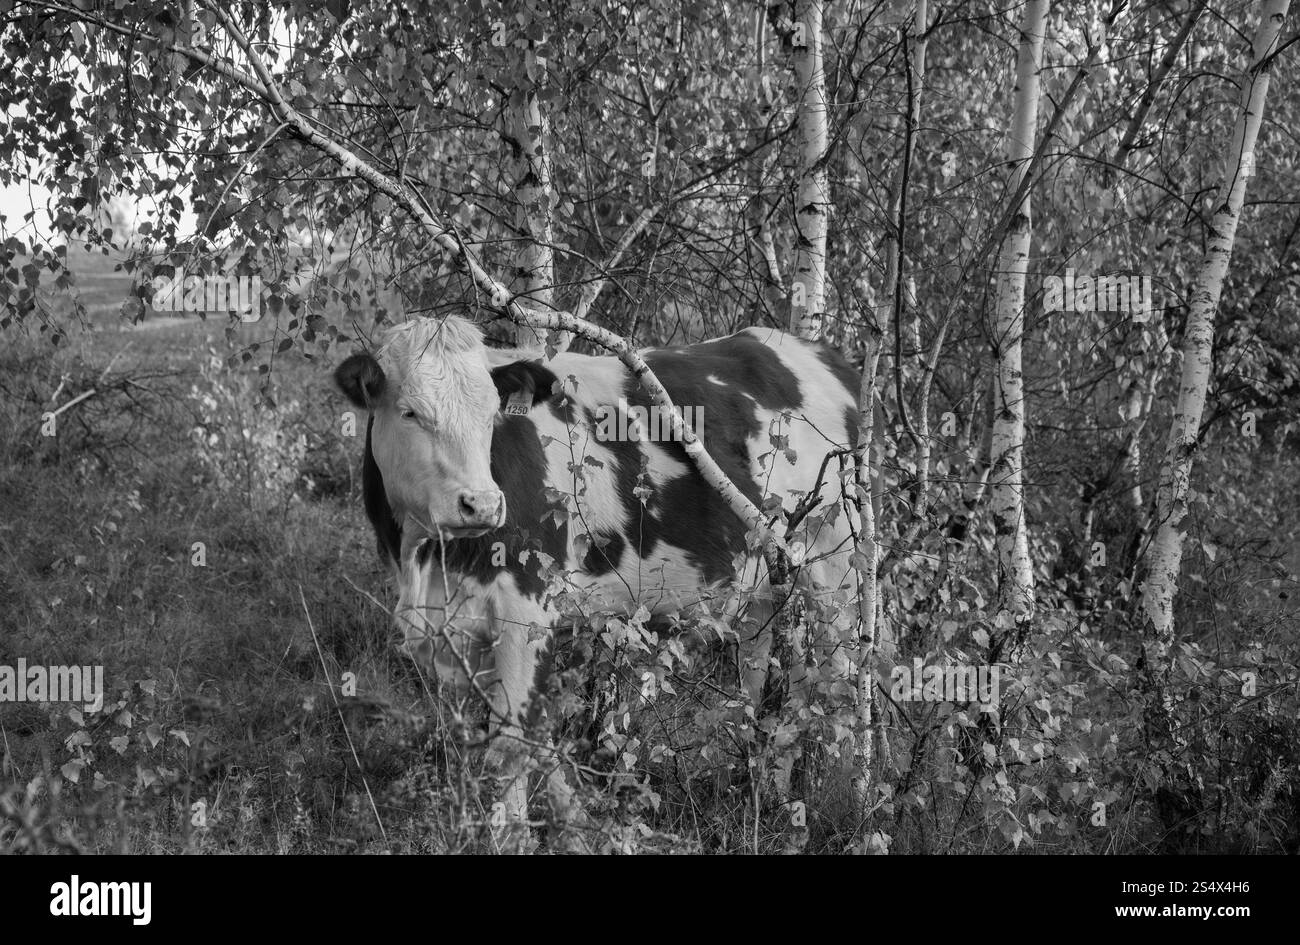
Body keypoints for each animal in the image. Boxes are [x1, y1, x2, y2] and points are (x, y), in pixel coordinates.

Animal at [334, 315, 877, 815]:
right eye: (409, 412)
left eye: (491, 415)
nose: (482, 505)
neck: (425, 562)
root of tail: (820, 354)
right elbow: (516, 744)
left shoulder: (526, 613)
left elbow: (510, 748)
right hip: (760, 585)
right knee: (772, 686)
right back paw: (768, 795)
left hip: (839, 570)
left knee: (842, 683)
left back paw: (849, 800)